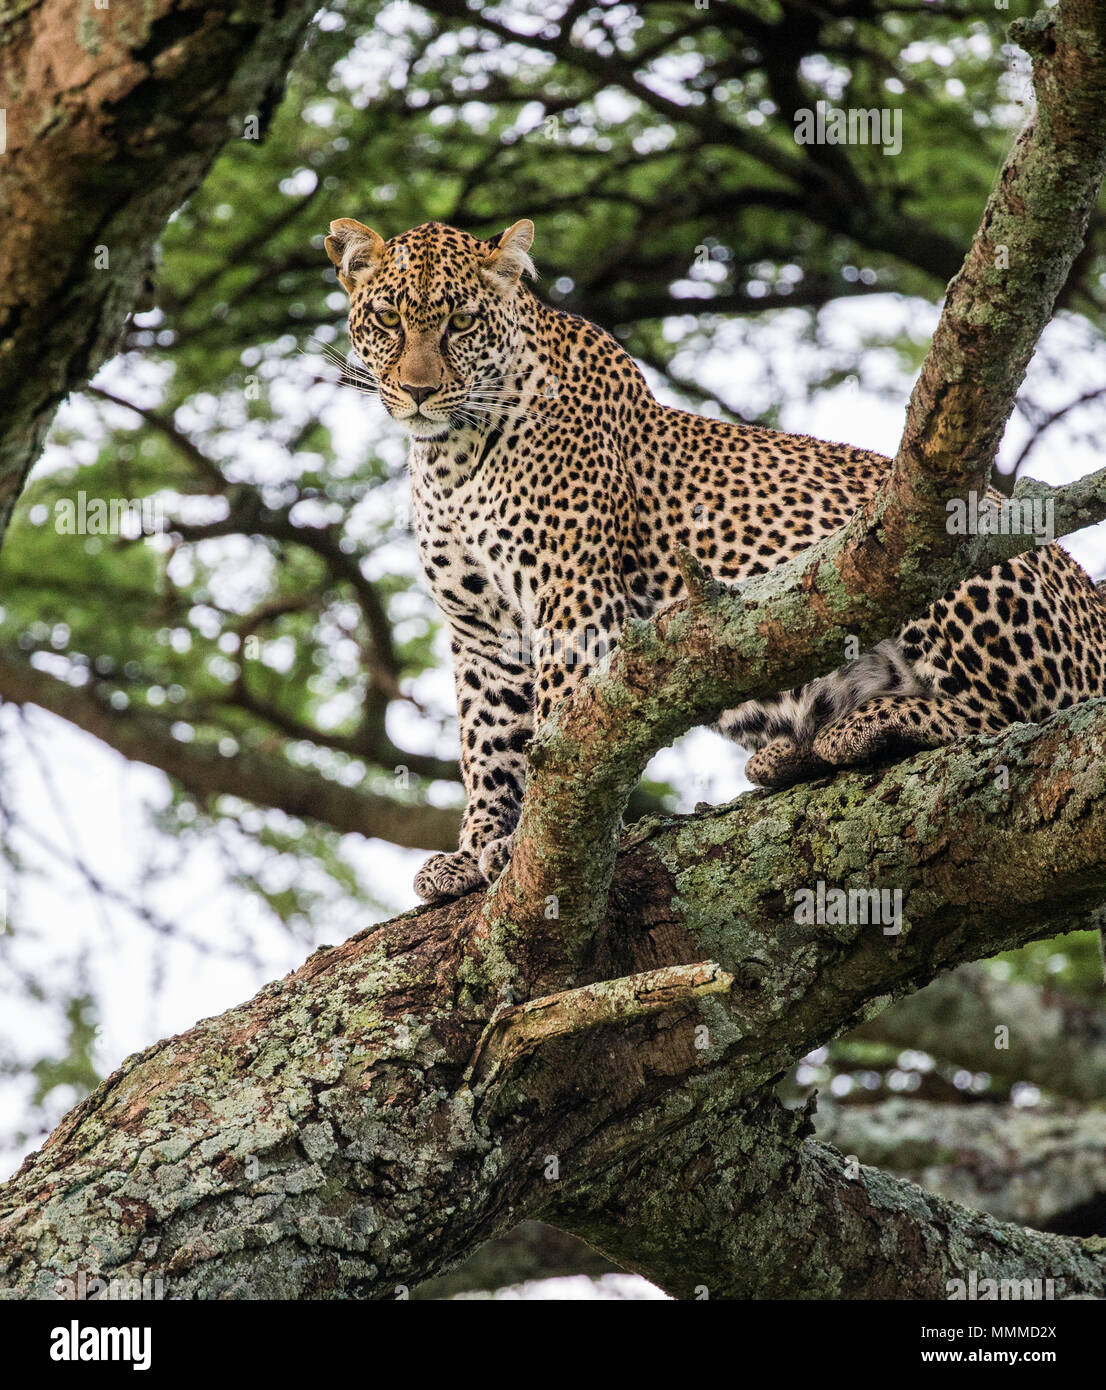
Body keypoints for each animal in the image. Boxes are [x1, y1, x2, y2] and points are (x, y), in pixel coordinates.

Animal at [323, 216, 1105, 902]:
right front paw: (472, 852)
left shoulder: (572, 596)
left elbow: (555, 727)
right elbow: (489, 743)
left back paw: (866, 726)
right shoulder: (482, 631)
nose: (419, 391)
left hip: (947, 561)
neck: (451, 455)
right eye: (388, 319)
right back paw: (794, 751)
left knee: (1017, 720)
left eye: (460, 323)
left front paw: (524, 843)